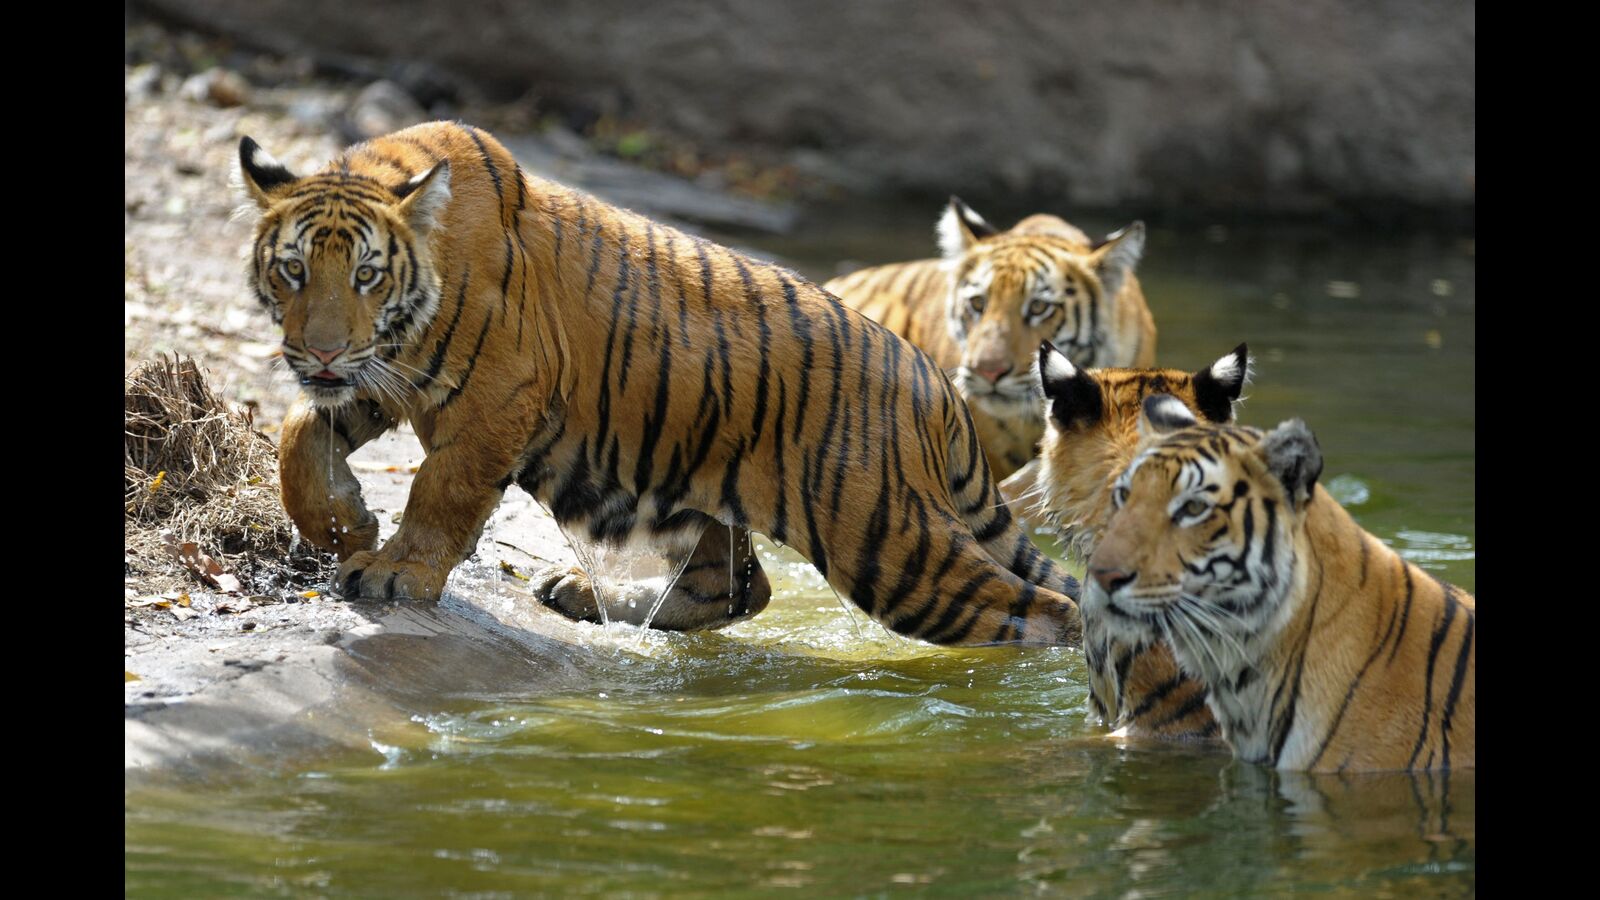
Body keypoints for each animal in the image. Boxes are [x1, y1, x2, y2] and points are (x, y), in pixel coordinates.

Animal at [235, 120, 1082, 645]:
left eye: (368, 275)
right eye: (293, 270)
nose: (318, 353)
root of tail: (937, 381)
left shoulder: (497, 394)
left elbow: (440, 489)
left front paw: (393, 572)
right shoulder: (380, 373)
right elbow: (299, 437)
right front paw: (344, 524)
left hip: (889, 539)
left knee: (1044, 609)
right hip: (697, 493)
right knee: (740, 586)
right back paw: (583, 595)